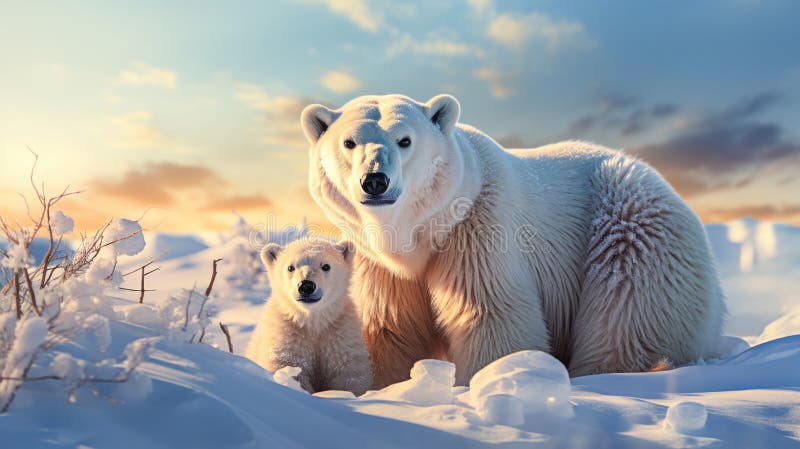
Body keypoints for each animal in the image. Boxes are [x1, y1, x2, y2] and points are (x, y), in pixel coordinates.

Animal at [246, 237, 372, 395]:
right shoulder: (288, 336)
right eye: (290, 267)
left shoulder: (339, 335)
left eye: (326, 266)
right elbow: (289, 366)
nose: (306, 286)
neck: (312, 321)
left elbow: (350, 375)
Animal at [300, 93, 727, 388]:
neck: (416, 235)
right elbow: (390, 327)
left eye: (405, 140)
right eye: (349, 142)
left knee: (629, 308)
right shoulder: (380, 265)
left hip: (631, 221)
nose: (375, 180)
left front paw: (491, 379)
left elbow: (490, 316)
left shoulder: (478, 229)